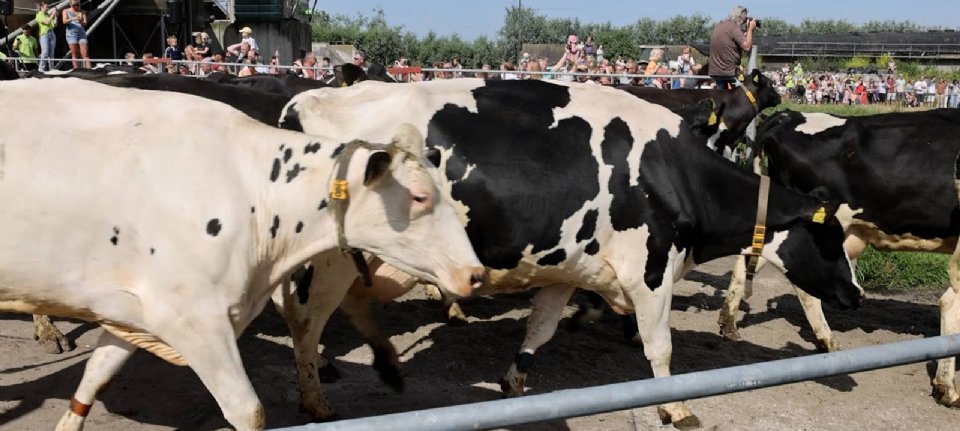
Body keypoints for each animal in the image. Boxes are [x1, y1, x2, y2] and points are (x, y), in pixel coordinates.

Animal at [0, 77, 483, 430]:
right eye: (419, 196)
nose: (476, 274)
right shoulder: (196, 320)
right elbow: (247, 410)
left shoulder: (131, 311)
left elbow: (94, 377)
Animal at [278, 78, 862, 428]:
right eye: (830, 239)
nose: (855, 294)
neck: (674, 175)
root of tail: (308, 100)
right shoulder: (651, 270)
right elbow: (661, 348)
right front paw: (676, 406)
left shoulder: (566, 267)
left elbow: (540, 330)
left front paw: (515, 380)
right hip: (332, 259)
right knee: (305, 319)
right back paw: (314, 398)